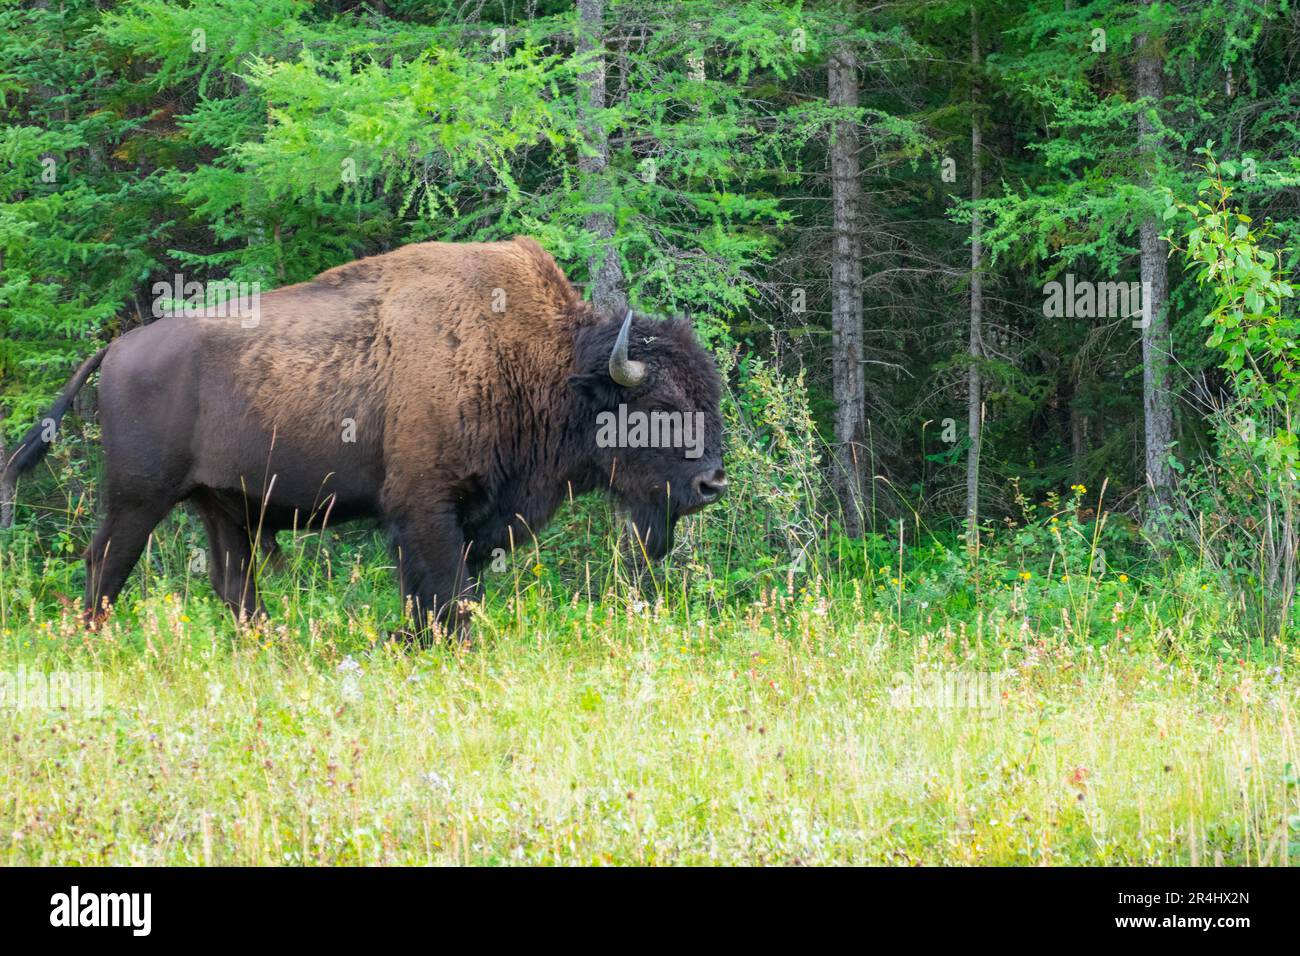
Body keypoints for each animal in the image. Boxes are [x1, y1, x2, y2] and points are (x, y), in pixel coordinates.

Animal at [4, 238, 727, 637]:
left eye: (709, 397)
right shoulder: (425, 510)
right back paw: (96, 641)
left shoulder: (471, 520)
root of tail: (117, 350)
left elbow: (442, 595)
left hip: (222, 506)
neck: (539, 362)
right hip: (137, 498)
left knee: (233, 584)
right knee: (105, 565)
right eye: (659, 403)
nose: (711, 482)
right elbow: (445, 594)